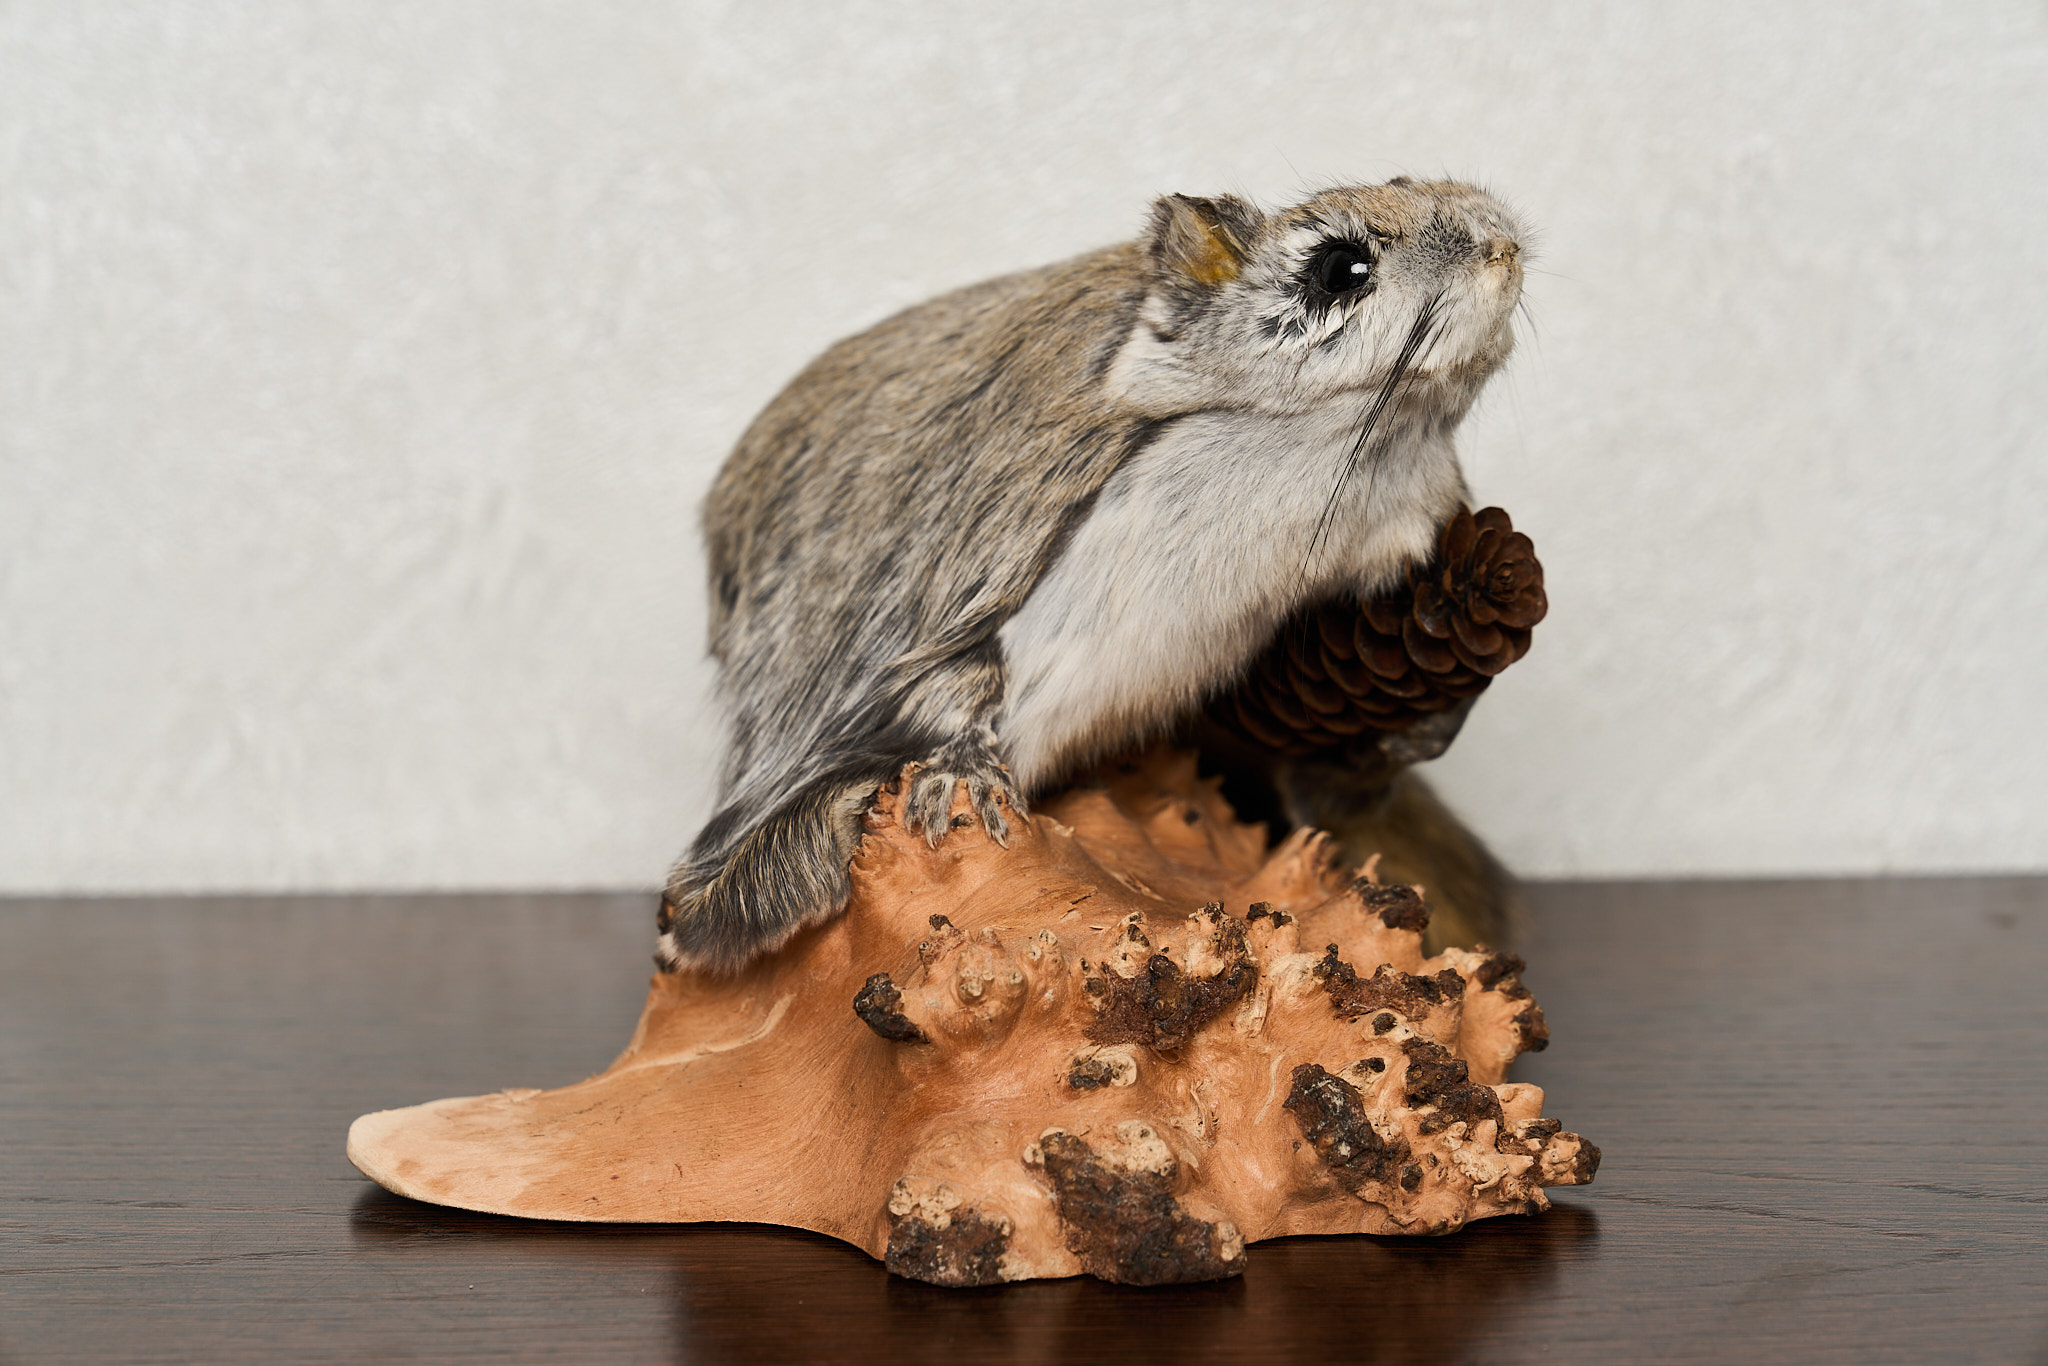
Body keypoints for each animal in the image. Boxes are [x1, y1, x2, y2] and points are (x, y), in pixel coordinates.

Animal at [659, 178, 1529, 973]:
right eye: (1342, 268)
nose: (1504, 244)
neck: (1329, 457)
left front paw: (1423, 728)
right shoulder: (981, 572)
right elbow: (951, 687)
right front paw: (961, 778)